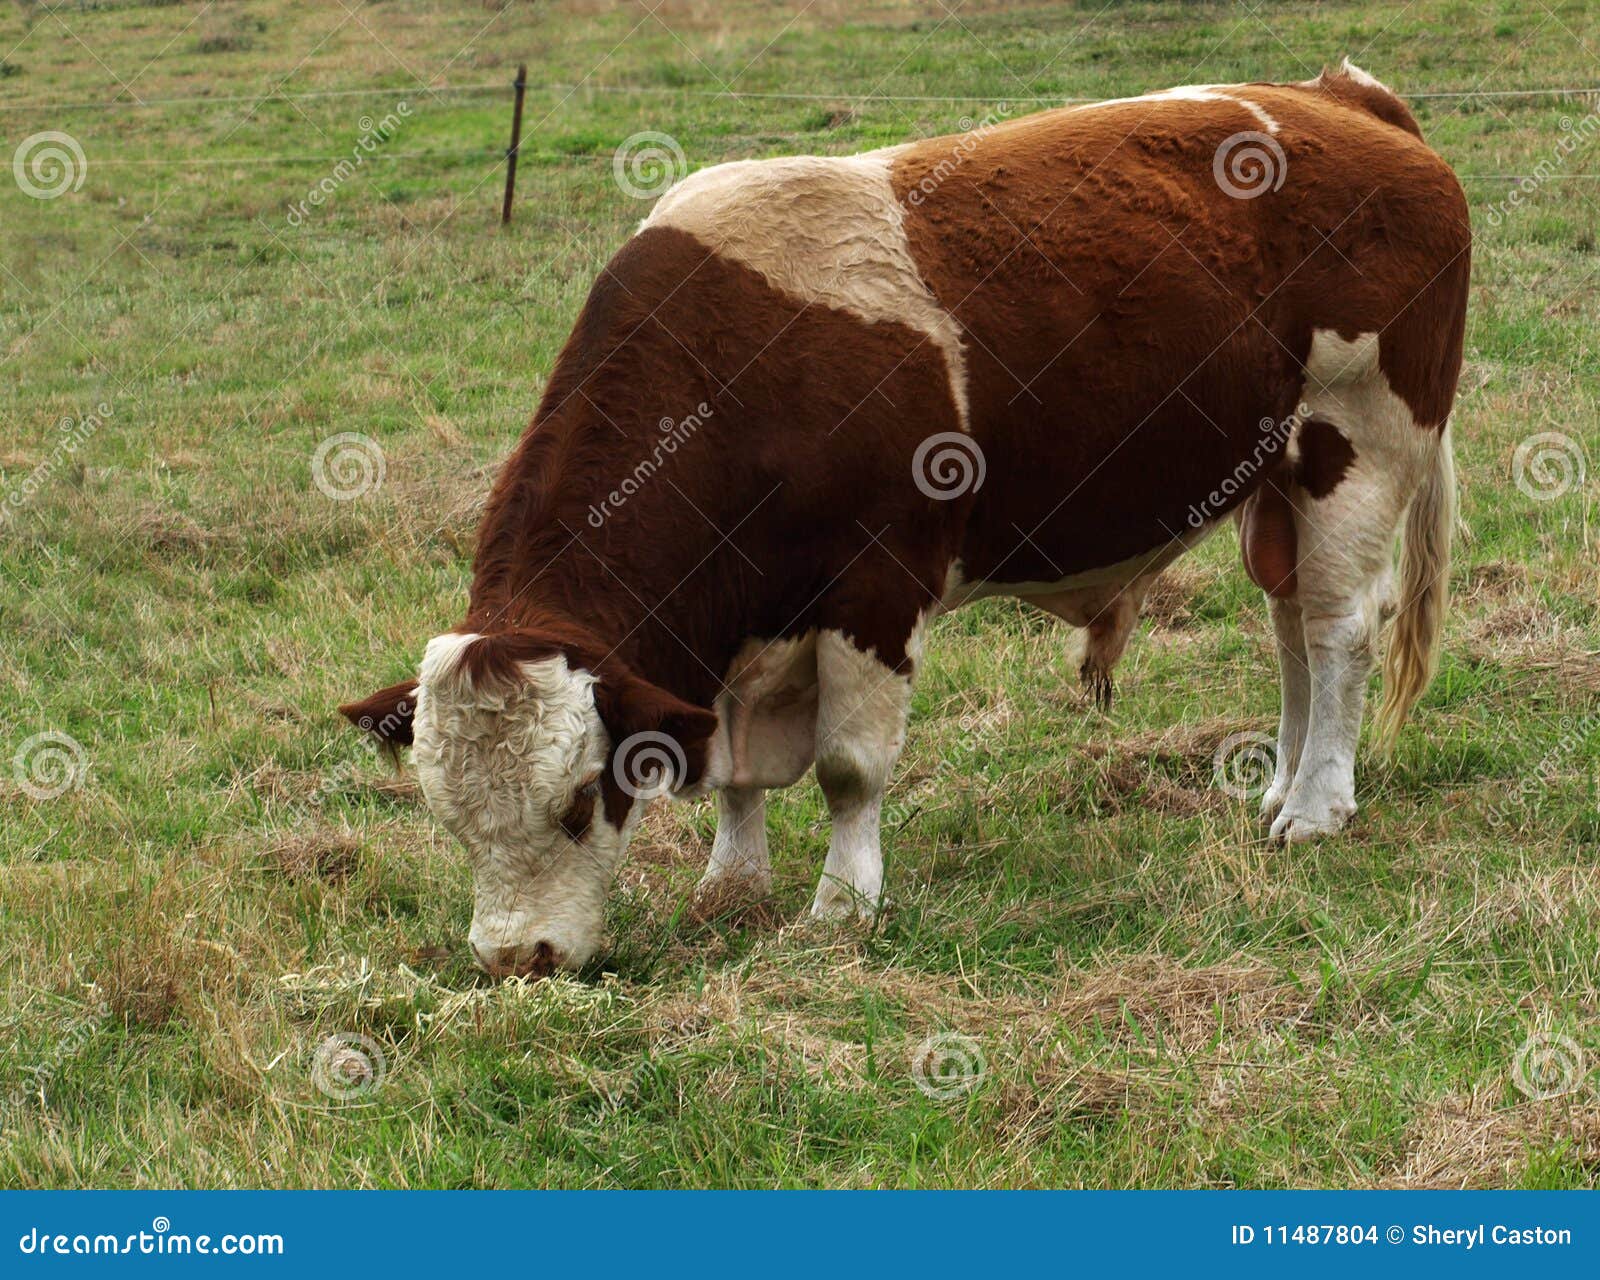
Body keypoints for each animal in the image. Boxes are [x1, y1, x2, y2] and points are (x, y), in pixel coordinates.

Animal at [341, 61, 1469, 978]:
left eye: (579, 800)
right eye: (447, 818)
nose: (514, 958)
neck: (734, 373)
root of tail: (1340, 98)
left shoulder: (875, 589)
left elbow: (848, 768)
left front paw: (842, 905)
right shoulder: (736, 628)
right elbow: (733, 772)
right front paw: (730, 887)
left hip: (1358, 446)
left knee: (1337, 632)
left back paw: (1317, 807)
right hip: (1273, 482)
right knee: (1290, 629)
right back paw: (1279, 786)